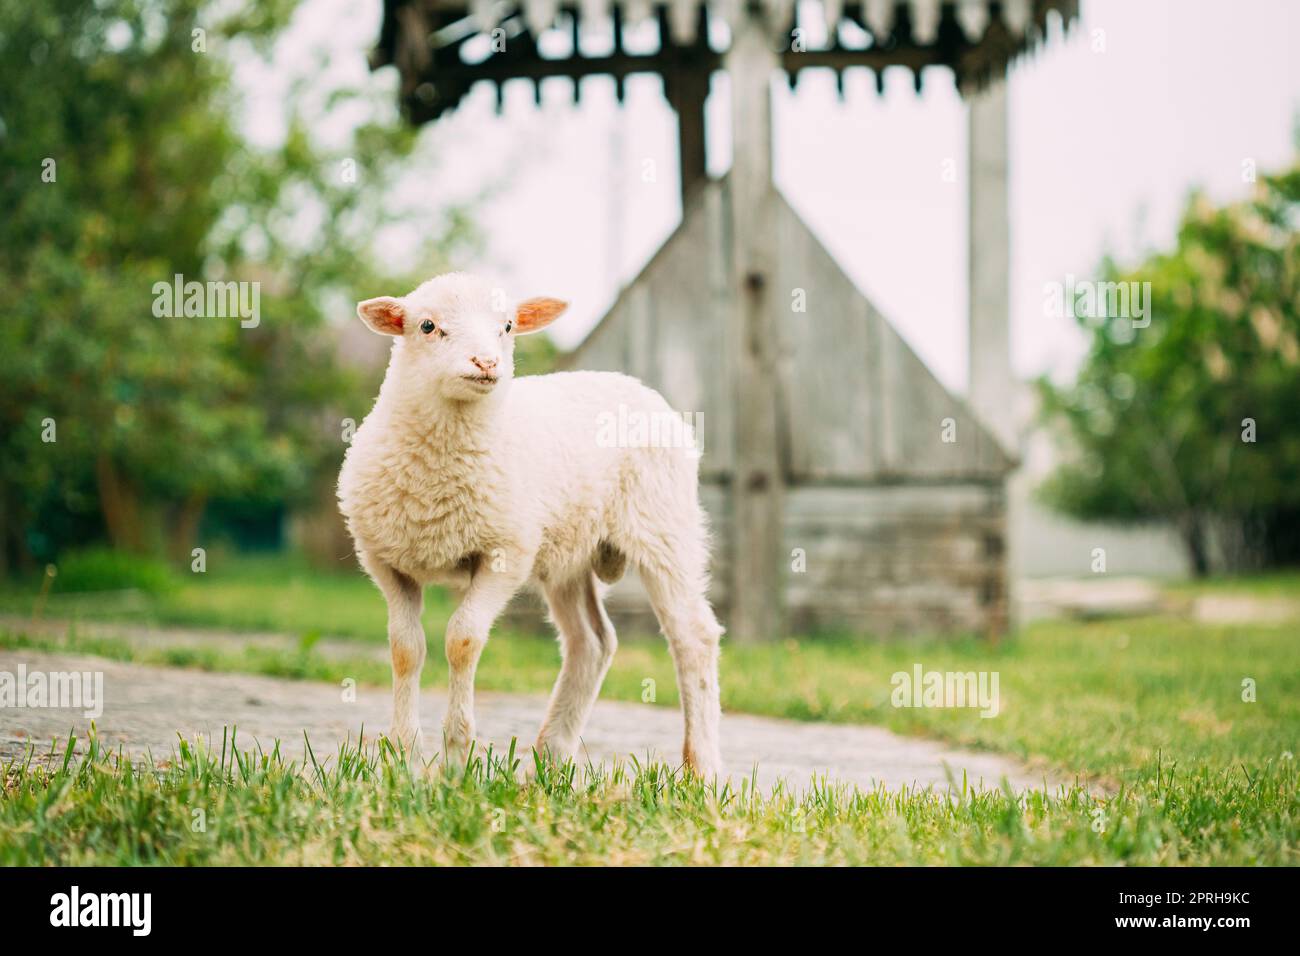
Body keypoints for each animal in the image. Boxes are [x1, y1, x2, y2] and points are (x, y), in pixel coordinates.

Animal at [337, 273, 724, 778]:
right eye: (427, 326)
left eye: (507, 326)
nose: (487, 362)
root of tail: (631, 382)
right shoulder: (387, 562)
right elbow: (405, 650)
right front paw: (404, 757)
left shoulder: (506, 554)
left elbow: (462, 639)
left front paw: (456, 757)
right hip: (569, 552)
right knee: (591, 643)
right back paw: (551, 756)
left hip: (664, 525)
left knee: (693, 637)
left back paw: (702, 767)